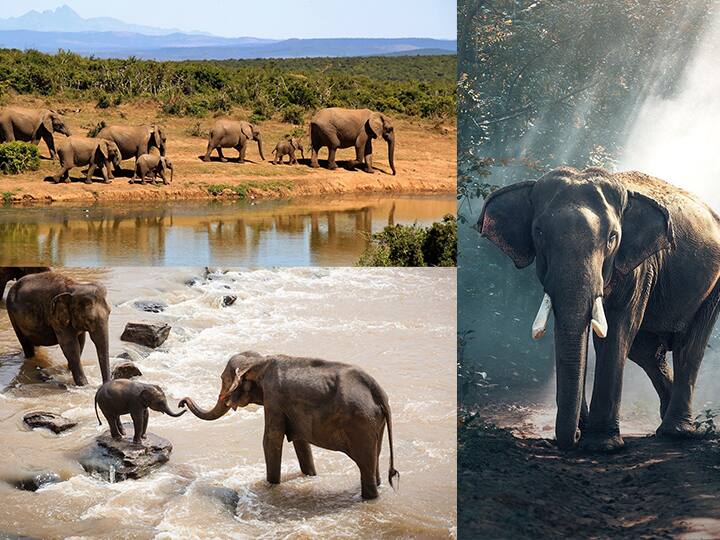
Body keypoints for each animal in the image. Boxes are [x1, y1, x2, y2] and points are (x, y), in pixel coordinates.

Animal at [179, 351, 399, 499]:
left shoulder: (274, 398)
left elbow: (270, 440)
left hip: (361, 424)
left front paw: (270, 486)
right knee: (374, 459)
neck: (260, 361)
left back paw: (368, 498)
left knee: (365, 464)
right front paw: (310, 475)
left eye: (223, 379)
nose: (181, 402)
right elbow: (301, 442)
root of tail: (379, 394)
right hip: (374, 424)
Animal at [478, 167, 720, 452]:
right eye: (538, 232)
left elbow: (616, 331)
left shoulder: (638, 267)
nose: (574, 436)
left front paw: (602, 445)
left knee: (688, 347)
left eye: (613, 237)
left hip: (712, 289)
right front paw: (586, 433)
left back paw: (677, 432)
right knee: (647, 352)